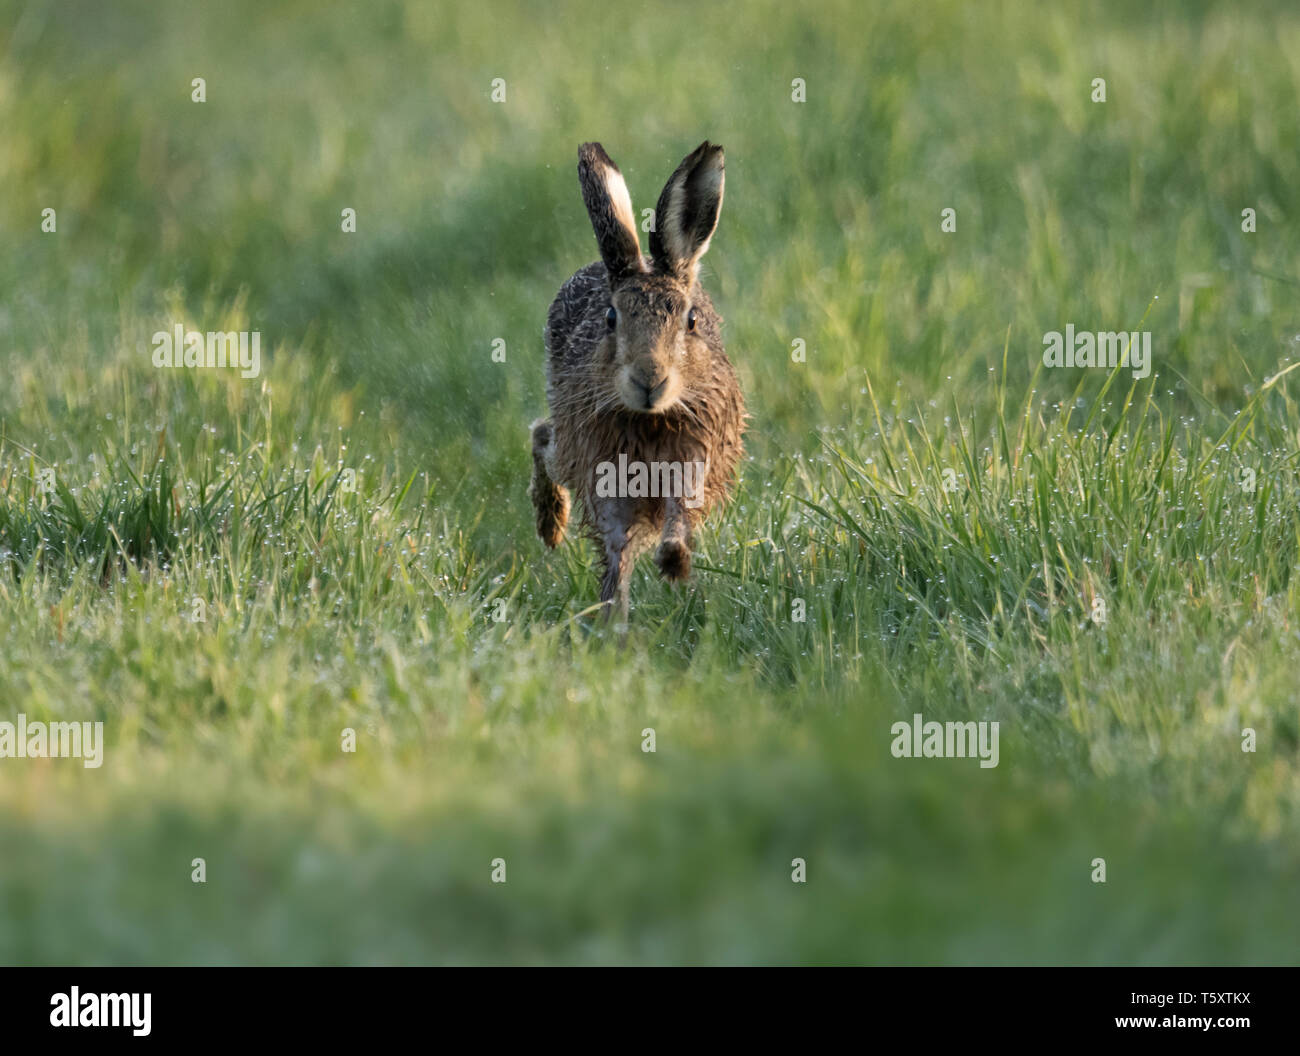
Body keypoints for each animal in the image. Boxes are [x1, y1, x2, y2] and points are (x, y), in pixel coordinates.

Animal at [529, 141, 746, 621]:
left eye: (691, 320)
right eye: (612, 319)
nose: (650, 379)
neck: (651, 418)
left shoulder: (694, 458)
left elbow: (680, 512)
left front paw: (674, 562)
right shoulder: (604, 471)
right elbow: (617, 547)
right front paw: (614, 616)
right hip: (568, 444)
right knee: (542, 438)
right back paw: (550, 525)